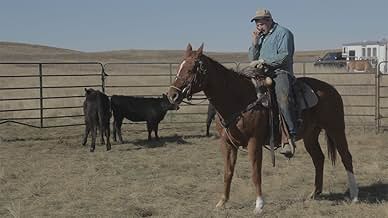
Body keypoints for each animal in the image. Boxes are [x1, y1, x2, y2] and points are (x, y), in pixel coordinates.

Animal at [167, 43, 358, 214]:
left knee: (346, 157)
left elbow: (255, 173)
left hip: (336, 128)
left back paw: (354, 195)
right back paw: (315, 193)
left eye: (192, 68)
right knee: (318, 159)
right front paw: (222, 202)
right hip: (311, 135)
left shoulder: (254, 142)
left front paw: (259, 205)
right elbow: (228, 173)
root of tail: (331, 89)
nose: (172, 95)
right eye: (180, 66)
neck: (238, 99)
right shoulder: (227, 143)